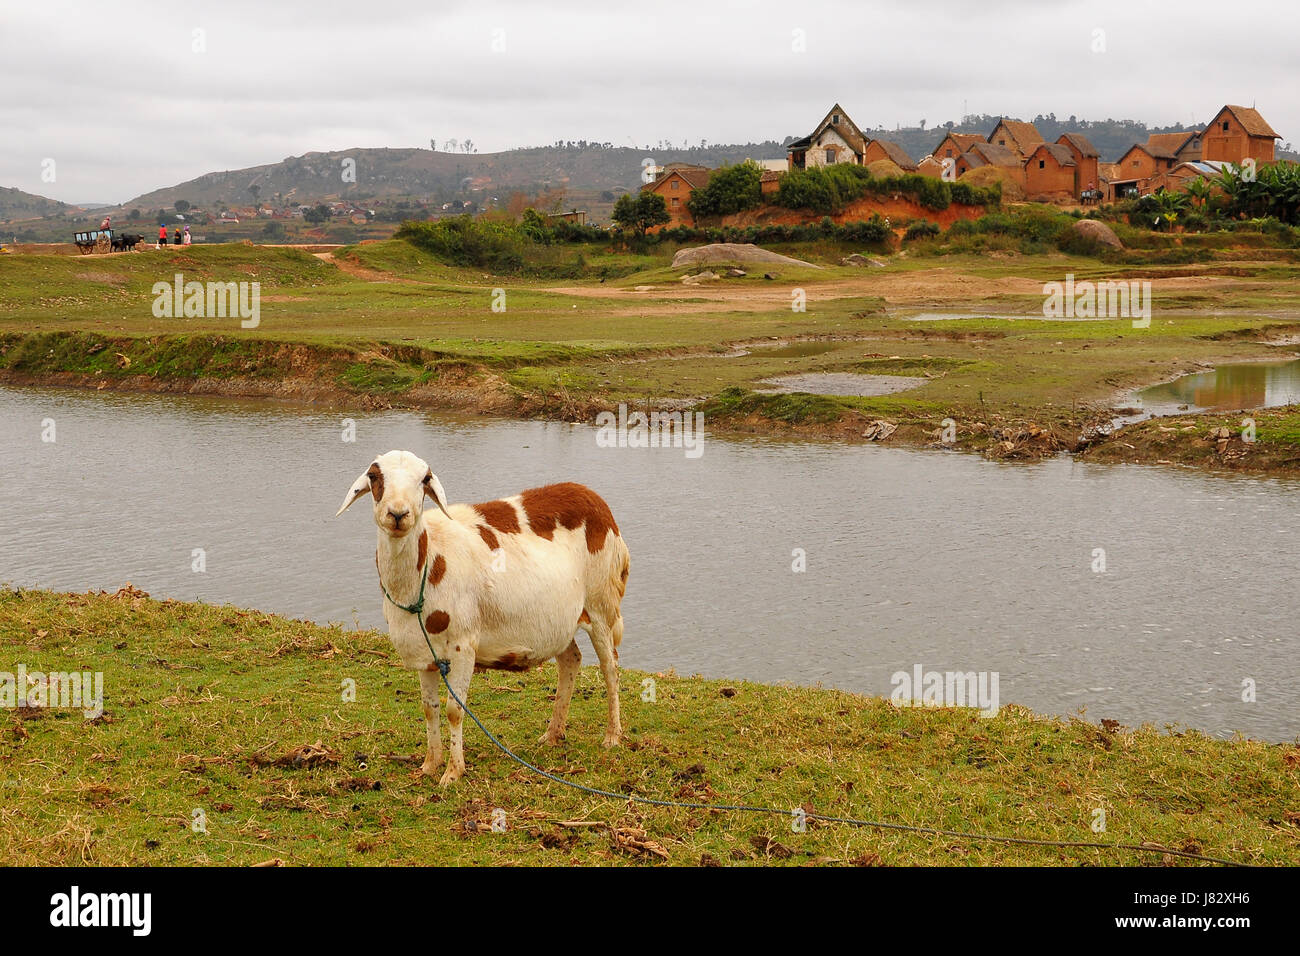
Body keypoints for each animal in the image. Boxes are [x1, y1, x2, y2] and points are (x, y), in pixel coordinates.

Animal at [336, 450, 630, 785]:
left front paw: (453, 772)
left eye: (425, 479)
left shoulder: (463, 645)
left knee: (610, 668)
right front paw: (430, 764)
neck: (428, 561)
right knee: (571, 660)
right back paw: (553, 734)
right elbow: (429, 708)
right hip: (557, 619)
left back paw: (612, 736)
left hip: (601, 604)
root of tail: (594, 499)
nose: (398, 514)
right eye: (374, 477)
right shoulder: (425, 652)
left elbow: (454, 710)